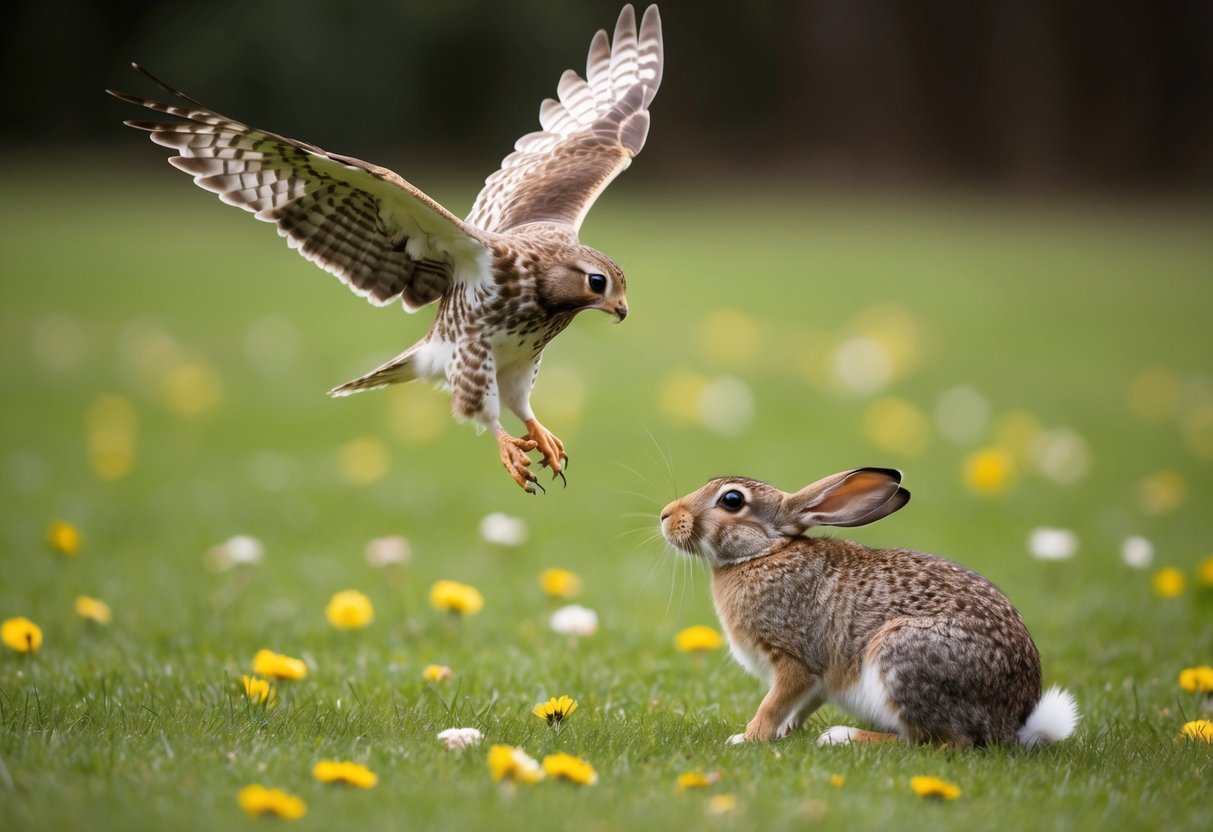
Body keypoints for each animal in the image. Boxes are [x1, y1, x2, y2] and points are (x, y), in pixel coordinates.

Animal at [660, 467, 1079, 748]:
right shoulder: (820, 681)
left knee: (938, 742)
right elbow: (800, 705)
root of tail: (1013, 722)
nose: (666, 515)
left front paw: (748, 738)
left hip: (901, 656)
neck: (763, 553)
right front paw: (782, 733)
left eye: (732, 500)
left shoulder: (795, 660)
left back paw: (841, 736)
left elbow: (774, 703)